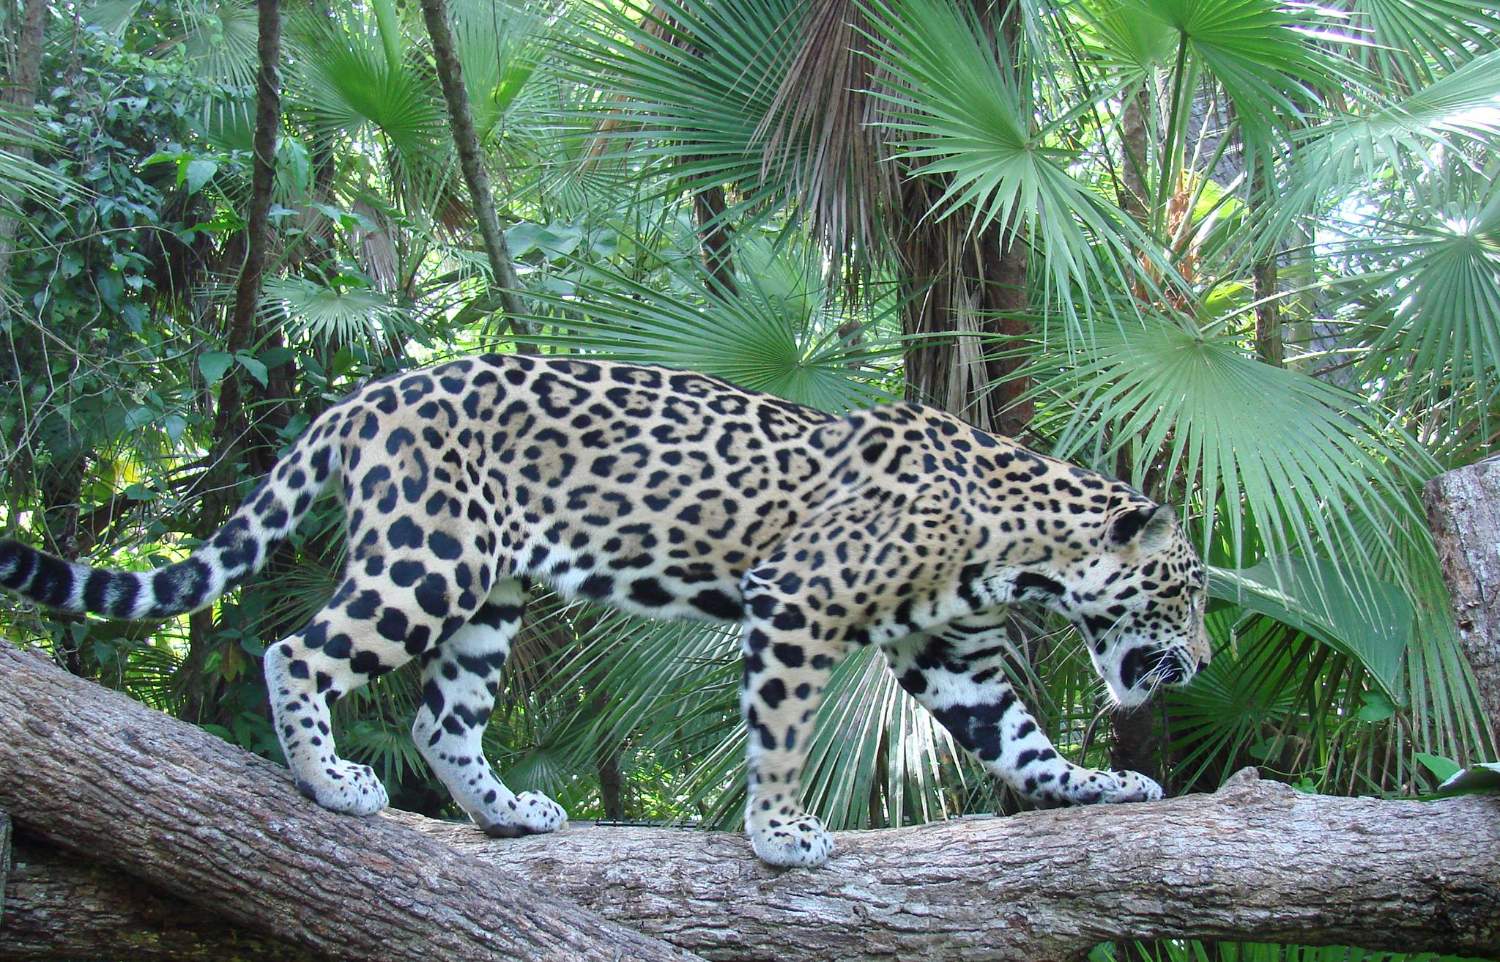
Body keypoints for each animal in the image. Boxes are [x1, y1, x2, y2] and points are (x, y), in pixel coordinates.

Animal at [0, 353, 1209, 867]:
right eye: (1188, 590)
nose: (1198, 660)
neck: (1021, 545)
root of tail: (368, 393)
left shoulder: (951, 655)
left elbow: (1024, 742)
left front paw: (1101, 786)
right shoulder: (798, 599)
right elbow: (781, 732)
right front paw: (780, 832)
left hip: (494, 590)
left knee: (441, 716)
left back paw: (504, 815)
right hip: (427, 561)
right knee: (296, 648)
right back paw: (331, 781)